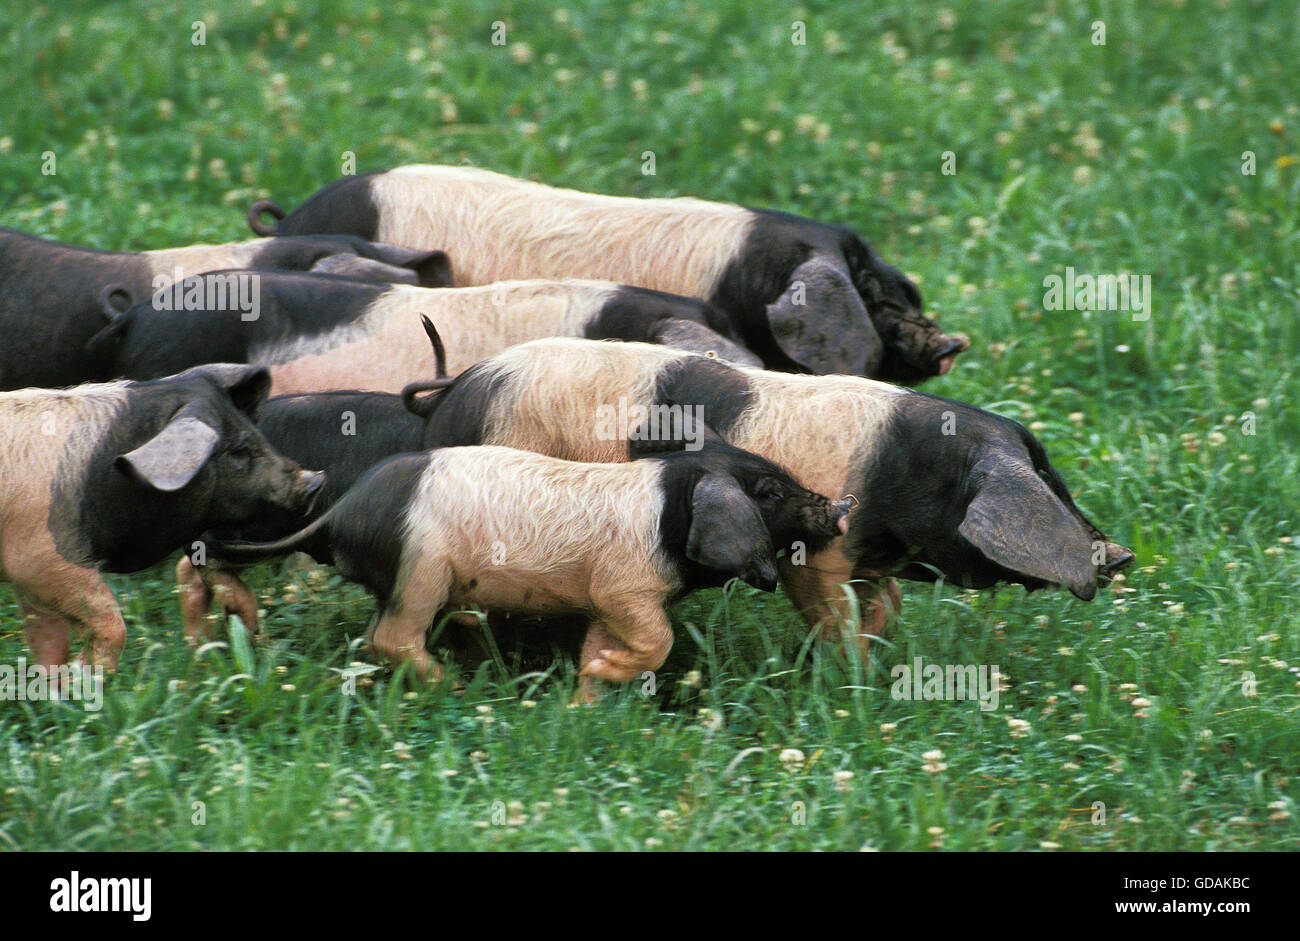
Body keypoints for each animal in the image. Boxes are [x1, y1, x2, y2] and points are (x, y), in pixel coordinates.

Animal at [0, 364, 324, 670]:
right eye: (239, 450)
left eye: (257, 434)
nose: (315, 480)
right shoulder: (40, 559)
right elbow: (109, 624)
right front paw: (87, 676)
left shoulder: (30, 584)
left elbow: (48, 642)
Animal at [208, 442, 852, 700]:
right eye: (769, 492)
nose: (841, 506)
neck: (670, 513)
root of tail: (341, 512)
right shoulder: (625, 587)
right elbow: (659, 640)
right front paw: (608, 674)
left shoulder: (606, 603)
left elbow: (600, 645)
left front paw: (585, 695)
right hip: (421, 569)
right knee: (390, 637)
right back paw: (458, 688)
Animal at [402, 338, 1134, 654]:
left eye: (1056, 479)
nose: (1121, 554)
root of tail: (462, 387)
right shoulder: (821, 554)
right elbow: (829, 612)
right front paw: (846, 674)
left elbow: (886, 606)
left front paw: (877, 656)